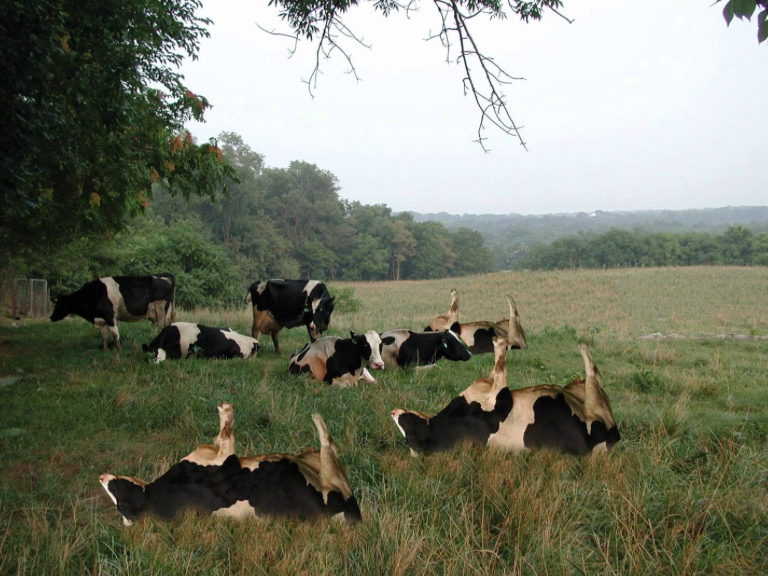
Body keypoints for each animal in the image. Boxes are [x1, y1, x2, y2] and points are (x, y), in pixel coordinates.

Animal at [99, 408, 362, 526]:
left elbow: (219, 437)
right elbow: (225, 434)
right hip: (333, 478)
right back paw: (317, 418)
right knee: (327, 442)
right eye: (120, 505)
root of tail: (356, 517)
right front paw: (226, 411)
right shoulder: (222, 462)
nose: (101, 477)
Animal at [391, 333, 620, 457]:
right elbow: (500, 369)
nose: (393, 412)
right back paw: (583, 347)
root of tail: (612, 441)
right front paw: (499, 343)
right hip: (597, 407)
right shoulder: (498, 399)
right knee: (593, 374)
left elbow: (492, 373)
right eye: (409, 437)